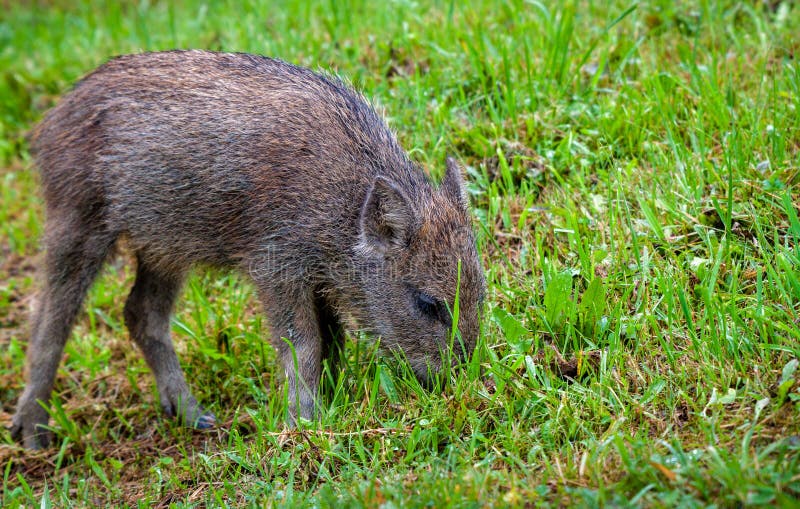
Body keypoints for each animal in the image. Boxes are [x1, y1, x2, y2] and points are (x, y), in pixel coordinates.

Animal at [11, 50, 485, 449]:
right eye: (427, 303)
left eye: (481, 292)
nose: (457, 385)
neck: (342, 204)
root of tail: (49, 121)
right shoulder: (276, 266)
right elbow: (304, 344)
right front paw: (305, 426)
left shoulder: (317, 277)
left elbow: (333, 339)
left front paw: (331, 406)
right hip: (76, 221)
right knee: (51, 317)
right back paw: (34, 436)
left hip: (164, 247)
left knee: (141, 313)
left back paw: (196, 418)